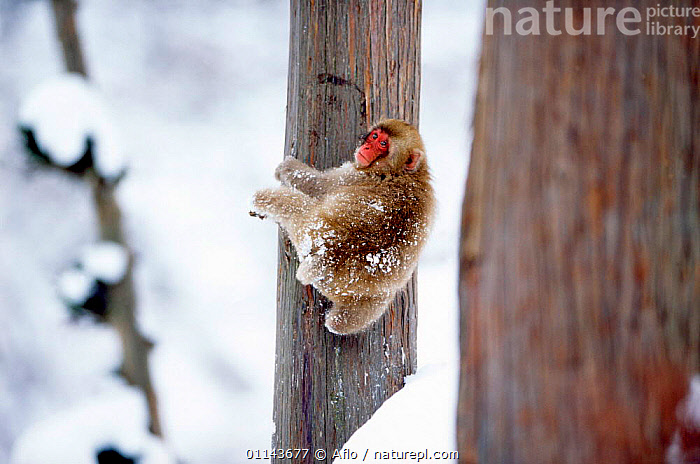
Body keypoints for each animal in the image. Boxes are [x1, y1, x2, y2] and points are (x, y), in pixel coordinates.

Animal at [251, 119, 435, 335]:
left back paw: (261, 202)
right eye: (375, 137)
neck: (404, 172)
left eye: (383, 144)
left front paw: (288, 168)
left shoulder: (358, 175)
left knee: (291, 203)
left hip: (307, 228)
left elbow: (320, 186)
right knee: (350, 318)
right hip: (373, 297)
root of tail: (330, 257)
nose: (366, 148)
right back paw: (337, 324)